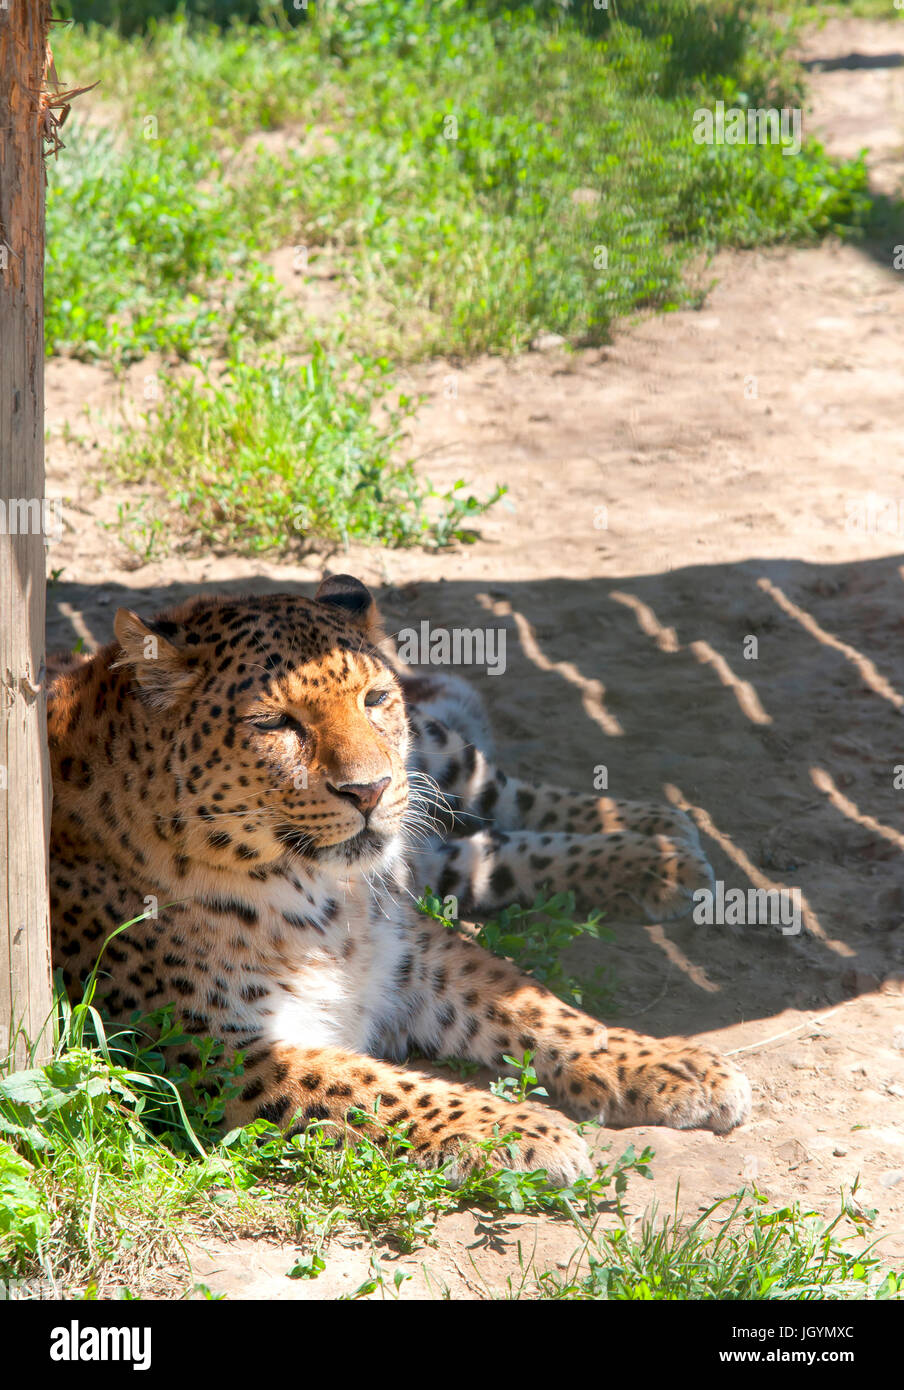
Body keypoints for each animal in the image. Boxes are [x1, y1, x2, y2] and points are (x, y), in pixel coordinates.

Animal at [48, 574, 751, 1186]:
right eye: (274, 724)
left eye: (374, 700)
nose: (370, 789)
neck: (315, 898)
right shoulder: (206, 1049)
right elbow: (378, 1086)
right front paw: (520, 1131)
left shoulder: (412, 947)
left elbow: (530, 1000)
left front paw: (667, 1062)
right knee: (473, 854)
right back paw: (661, 852)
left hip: (437, 764)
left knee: (496, 795)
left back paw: (660, 841)